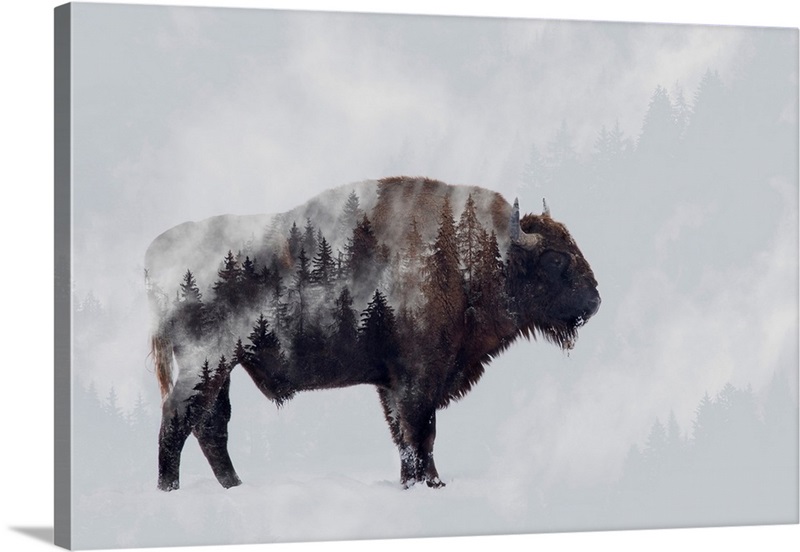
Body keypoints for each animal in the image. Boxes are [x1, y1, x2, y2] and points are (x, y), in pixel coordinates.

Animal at [145, 176, 600, 490]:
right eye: (555, 258)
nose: (595, 301)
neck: (473, 251)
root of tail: (155, 252)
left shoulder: (391, 383)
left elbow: (404, 437)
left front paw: (420, 483)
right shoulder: (417, 380)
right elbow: (420, 435)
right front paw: (430, 485)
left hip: (221, 368)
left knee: (210, 426)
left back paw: (235, 487)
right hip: (206, 363)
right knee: (178, 422)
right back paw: (171, 491)